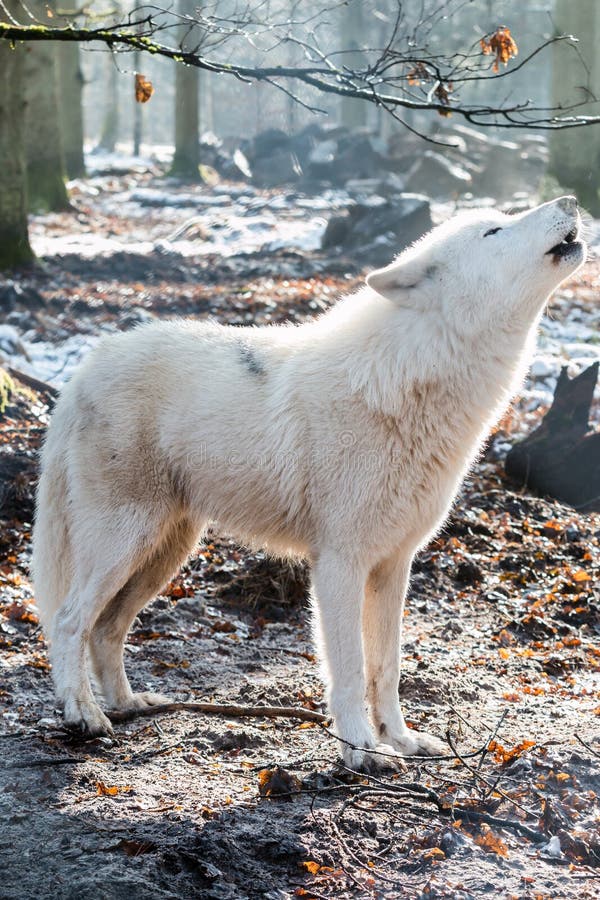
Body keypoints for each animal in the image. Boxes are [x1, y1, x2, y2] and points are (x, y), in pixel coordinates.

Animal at [32, 196, 585, 771]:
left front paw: (401, 740)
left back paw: (126, 704)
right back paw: (83, 715)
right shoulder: (338, 563)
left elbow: (387, 668)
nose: (570, 202)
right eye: (493, 231)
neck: (412, 378)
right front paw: (361, 751)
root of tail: (84, 369)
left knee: (105, 629)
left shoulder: (394, 566)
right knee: (68, 621)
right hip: (124, 545)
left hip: (164, 555)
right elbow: (349, 670)